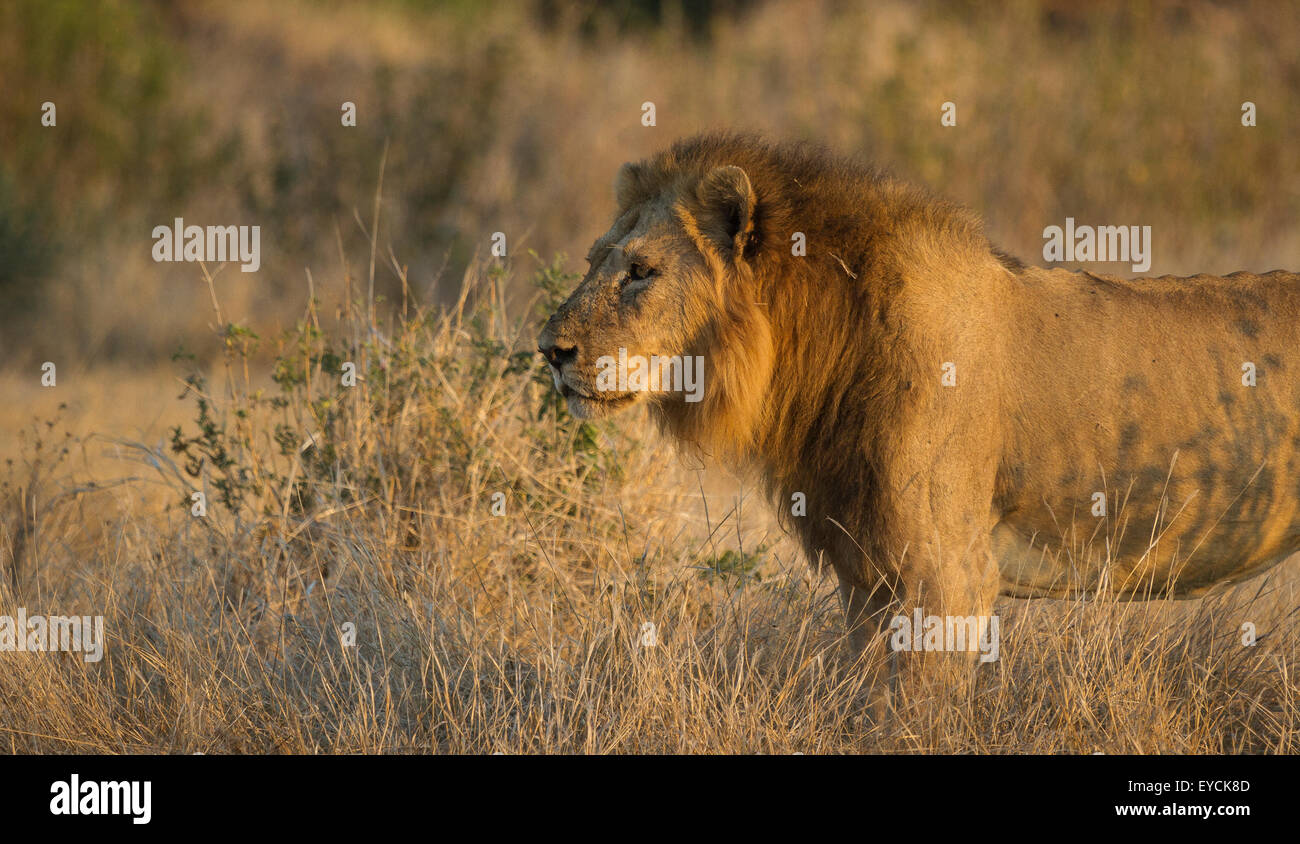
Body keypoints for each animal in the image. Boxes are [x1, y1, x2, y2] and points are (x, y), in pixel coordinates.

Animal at [538, 131, 1300, 700]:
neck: (823, 344)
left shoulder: (948, 574)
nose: (549, 349)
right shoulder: (866, 578)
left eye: (641, 271)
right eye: (593, 260)